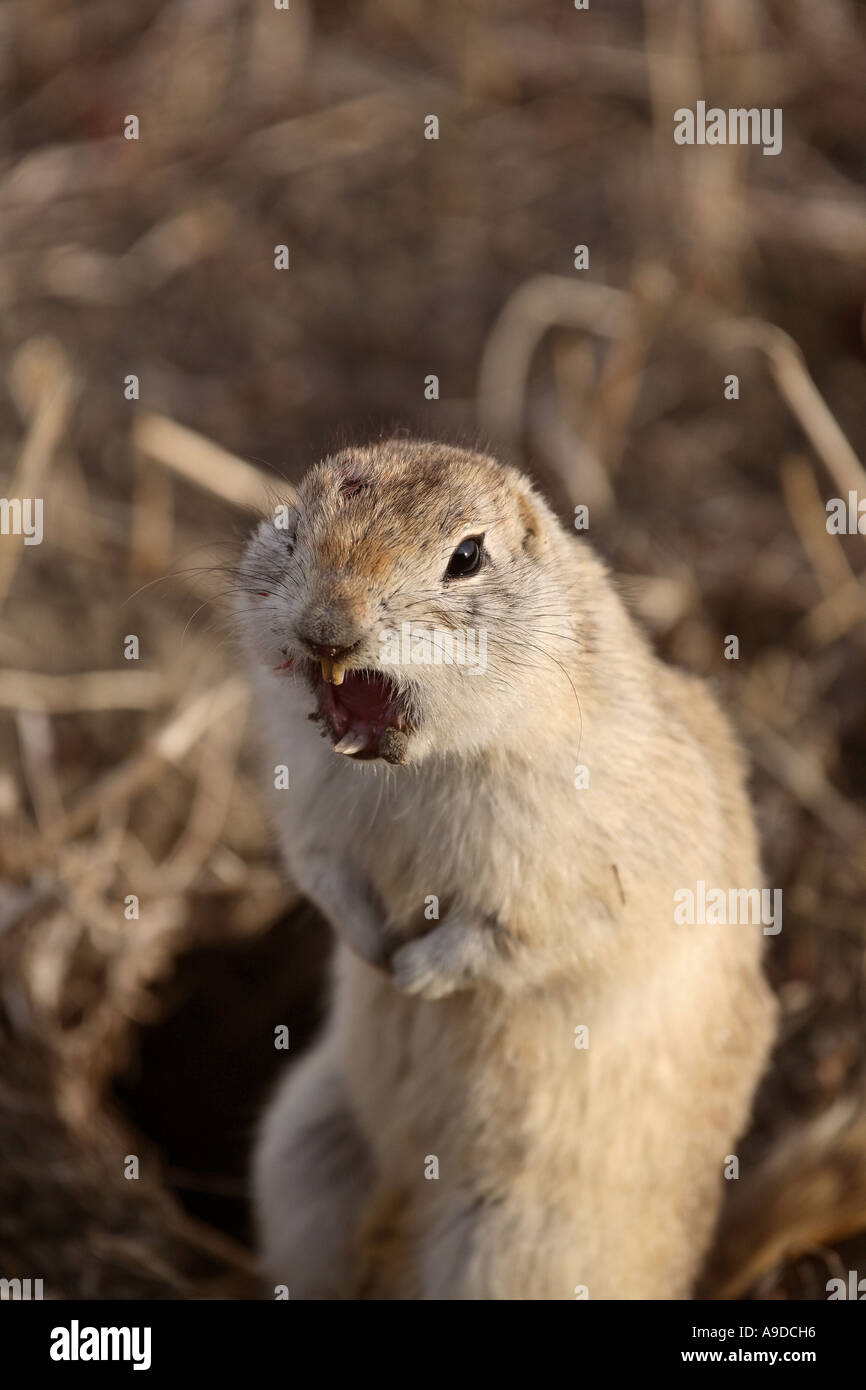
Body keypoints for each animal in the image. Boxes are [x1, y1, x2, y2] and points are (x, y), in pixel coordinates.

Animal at [238, 439, 777, 1300]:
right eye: (292, 523)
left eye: (467, 556)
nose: (327, 631)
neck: (425, 766)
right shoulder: (310, 814)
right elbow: (326, 876)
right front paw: (374, 951)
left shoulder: (578, 879)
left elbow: (512, 934)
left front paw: (412, 972)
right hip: (304, 1152)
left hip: (518, 1249)